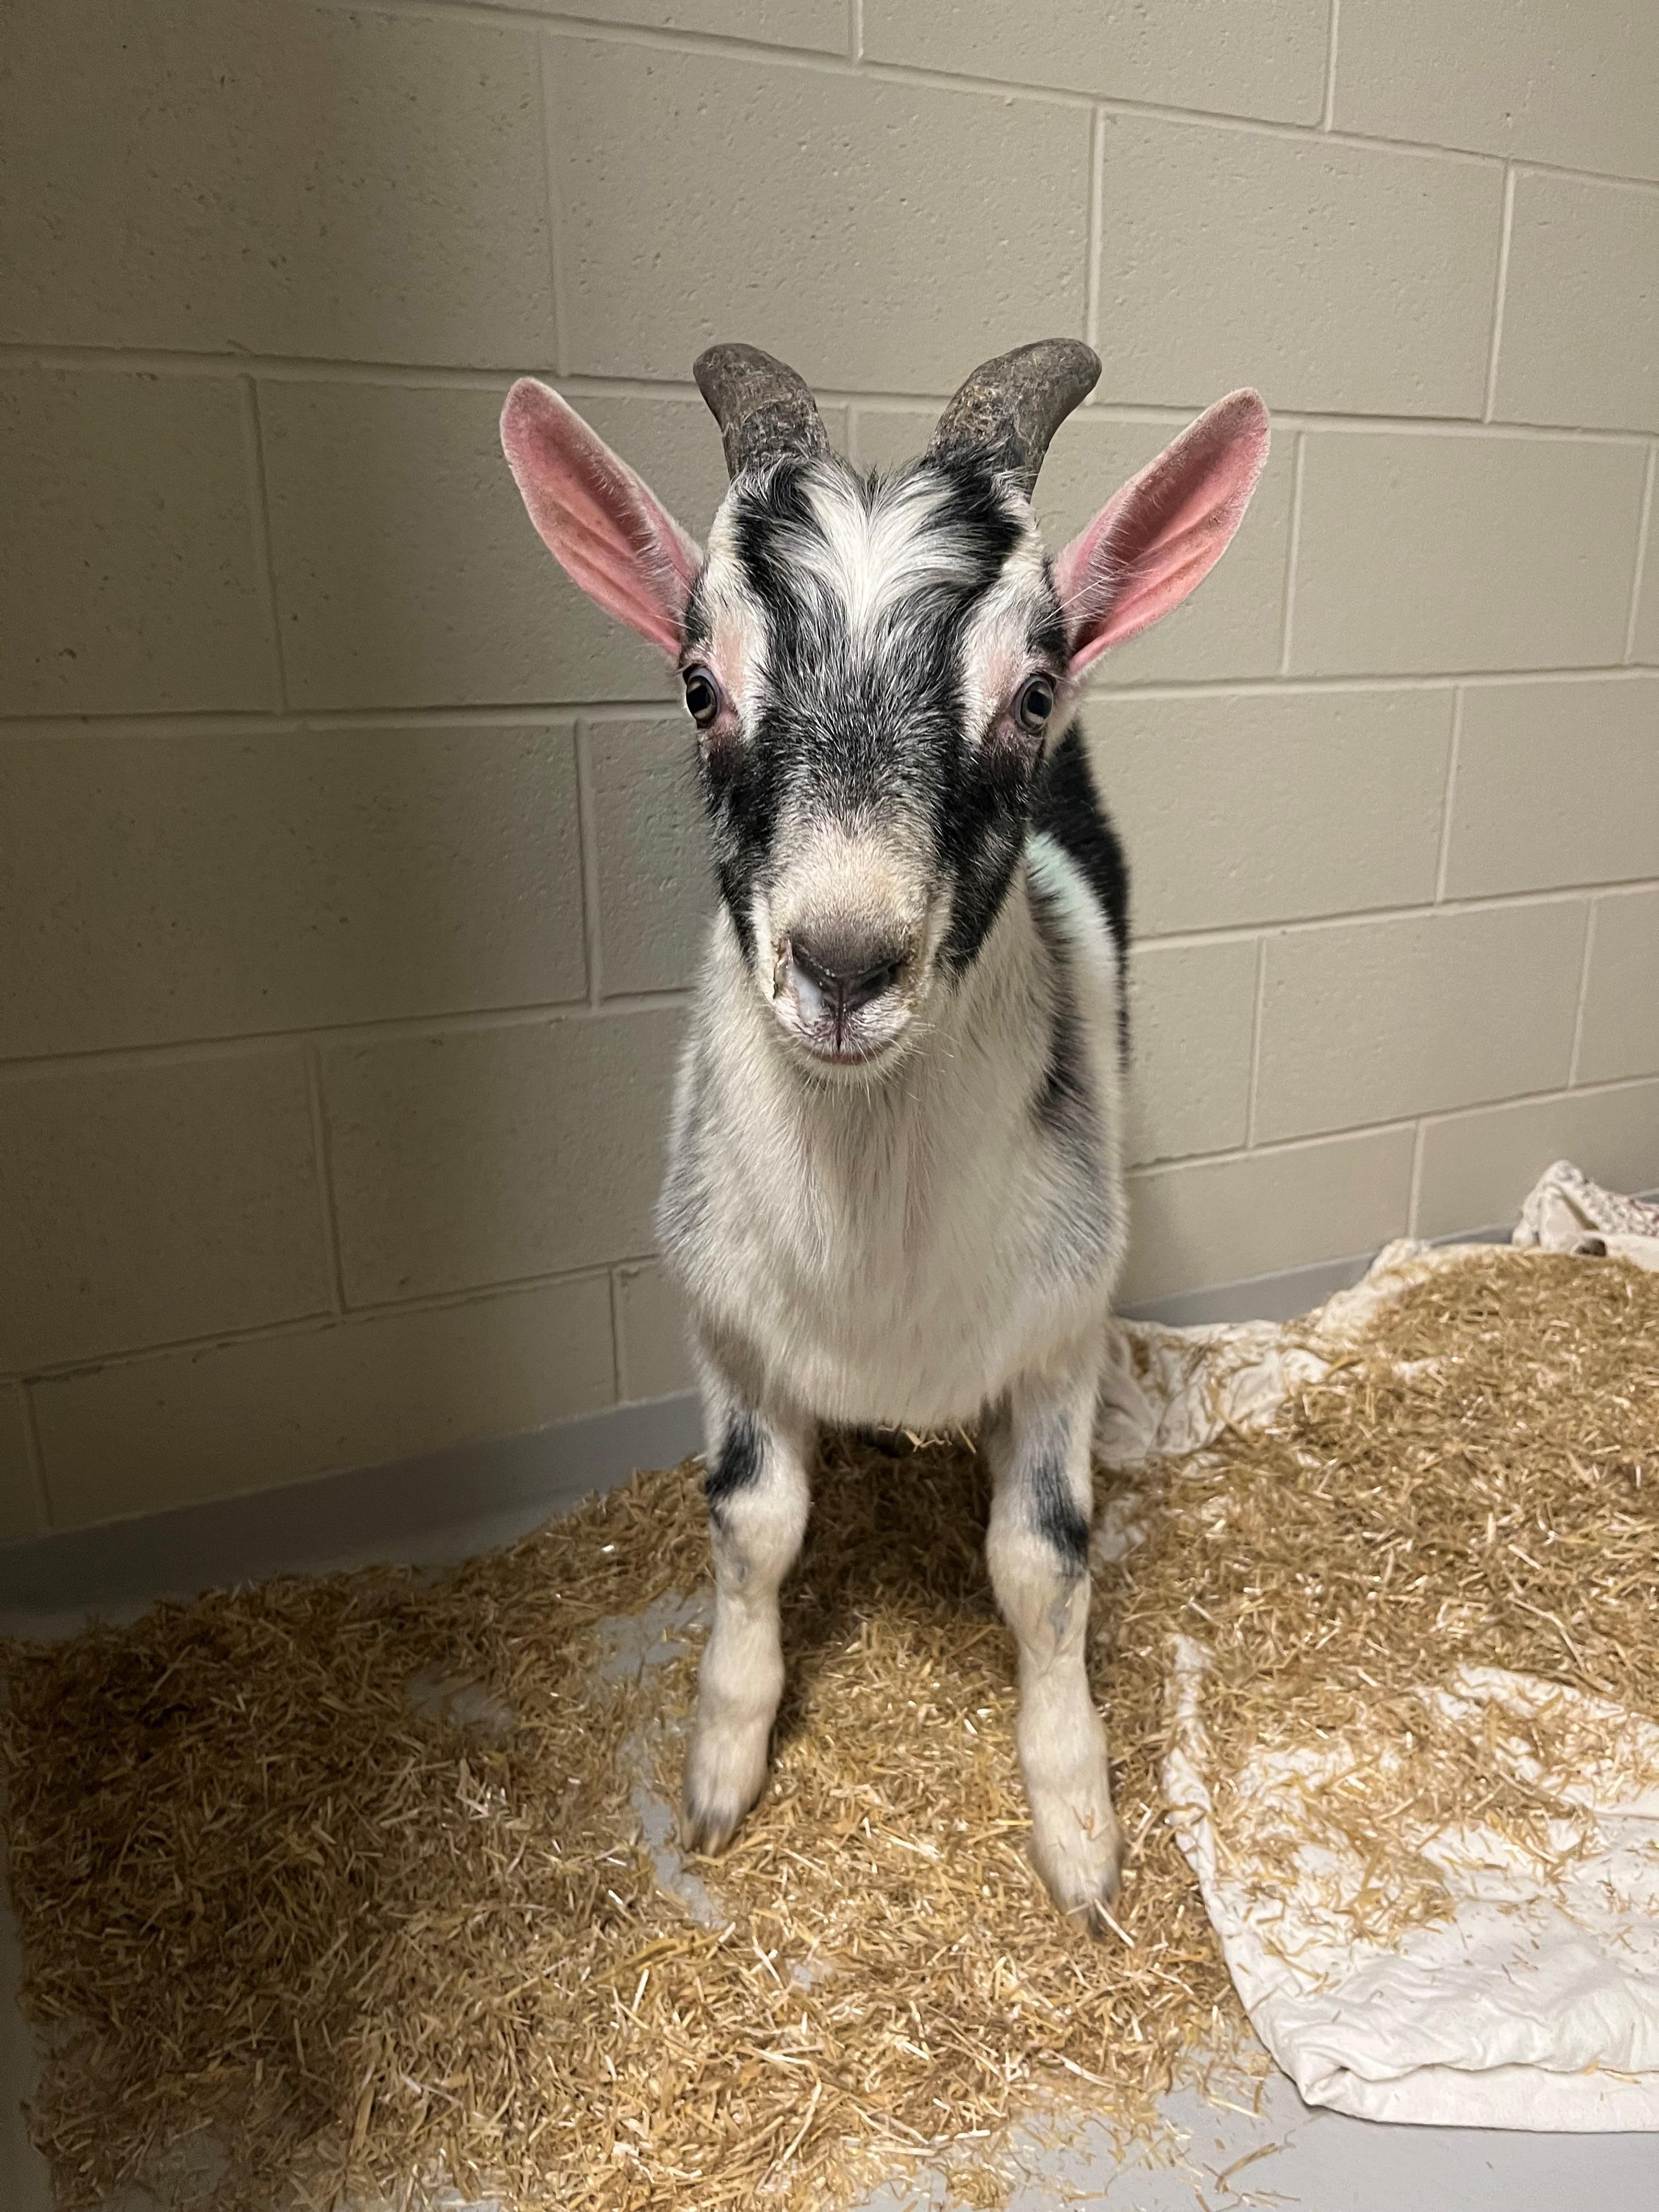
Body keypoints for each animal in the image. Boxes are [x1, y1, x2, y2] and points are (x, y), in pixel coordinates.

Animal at [502, 342, 1268, 1931]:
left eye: (1031, 689)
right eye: (698, 684)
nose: (845, 963)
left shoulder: (1057, 1332)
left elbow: (1043, 1560)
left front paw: (1079, 1832)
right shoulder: (727, 1323)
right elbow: (753, 1523)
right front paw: (722, 1770)